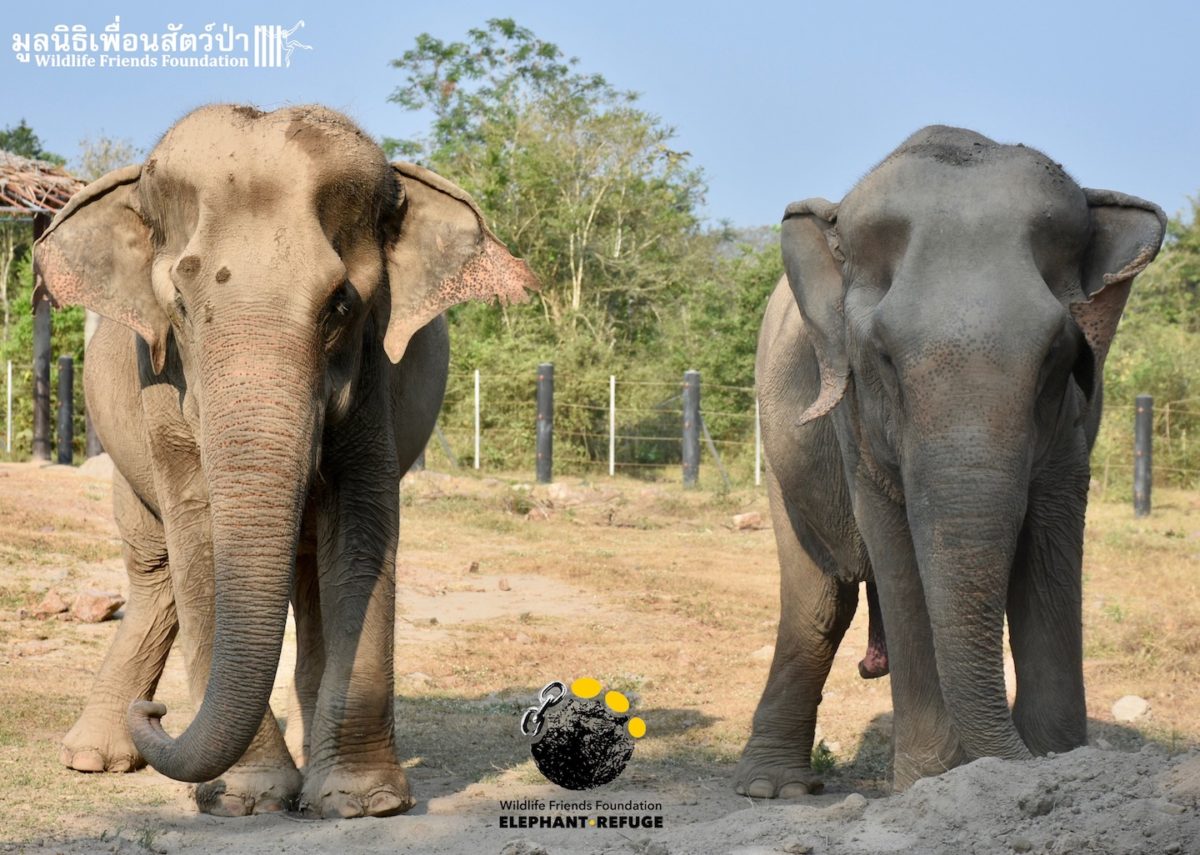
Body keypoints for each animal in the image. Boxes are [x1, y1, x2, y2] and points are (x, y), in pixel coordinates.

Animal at [34, 104, 536, 817]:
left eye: (341, 304)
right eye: (180, 305)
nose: (158, 715)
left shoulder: (373, 376)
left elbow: (360, 529)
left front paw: (361, 802)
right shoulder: (159, 383)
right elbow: (198, 532)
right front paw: (250, 798)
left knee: (304, 577)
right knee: (156, 572)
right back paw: (93, 758)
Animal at [735, 126, 1165, 797]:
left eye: (1057, 354)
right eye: (883, 357)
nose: (1020, 760)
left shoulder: (1071, 429)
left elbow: (1050, 548)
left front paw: (1056, 763)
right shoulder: (855, 421)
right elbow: (896, 552)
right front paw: (930, 783)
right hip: (779, 457)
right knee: (818, 601)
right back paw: (771, 789)